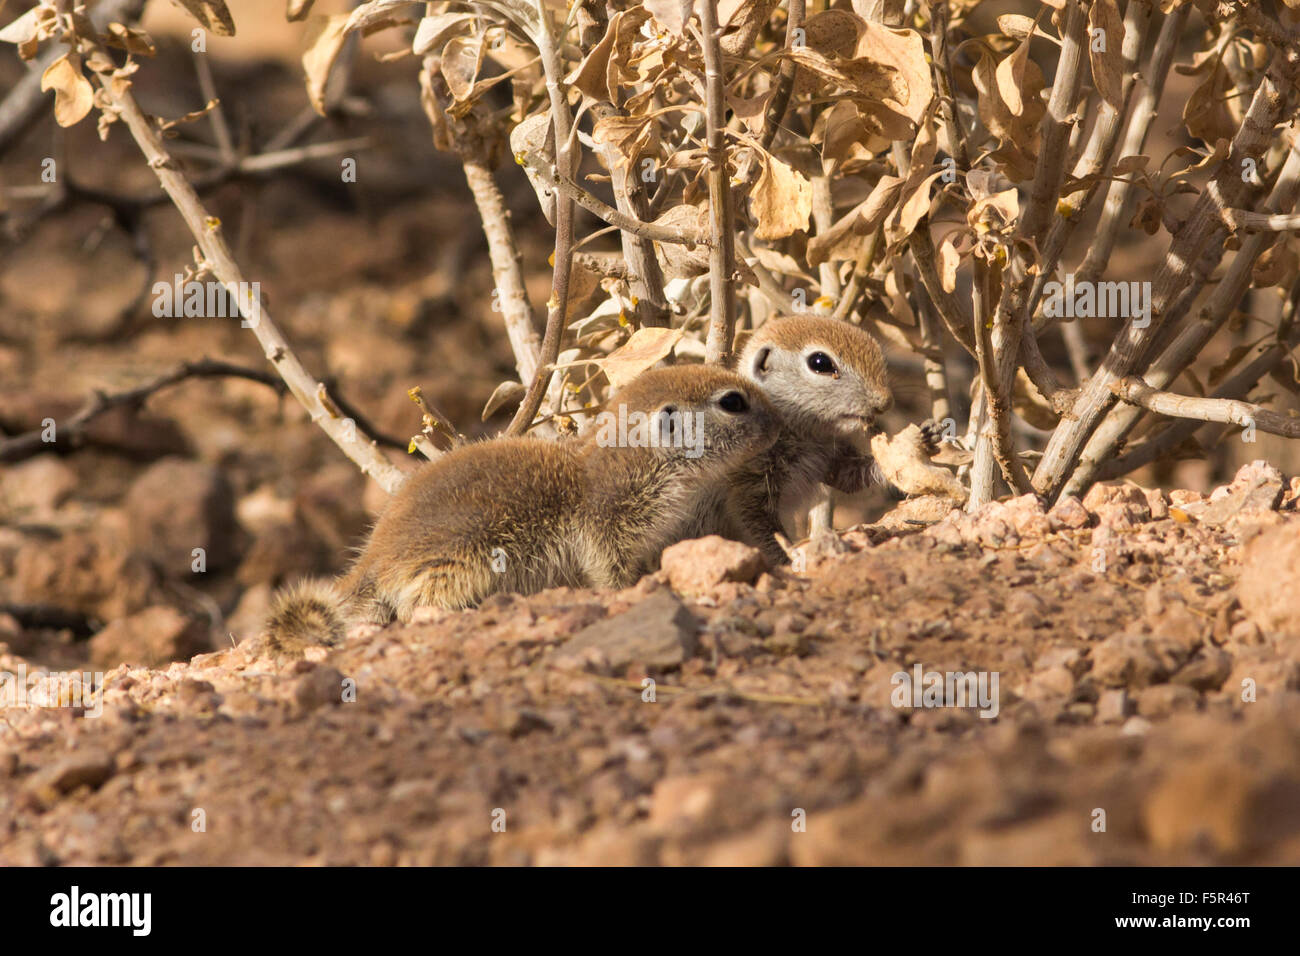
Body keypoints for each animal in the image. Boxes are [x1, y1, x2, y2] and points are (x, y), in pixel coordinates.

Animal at [262, 365, 778, 655]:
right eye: (733, 402)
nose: (780, 421)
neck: (633, 459)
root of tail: (370, 563)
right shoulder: (607, 521)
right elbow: (606, 568)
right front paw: (634, 588)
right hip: (460, 563)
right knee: (414, 607)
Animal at [686, 315, 893, 566]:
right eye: (820, 363)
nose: (885, 401)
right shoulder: (747, 492)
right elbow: (758, 527)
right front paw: (788, 561)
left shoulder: (831, 459)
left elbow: (851, 478)